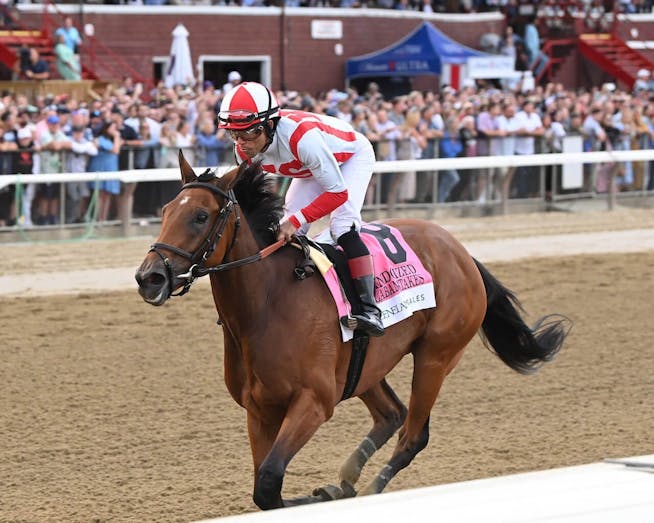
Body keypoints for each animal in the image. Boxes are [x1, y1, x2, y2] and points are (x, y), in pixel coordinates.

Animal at [135, 151, 571, 510]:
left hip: (436, 356)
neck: (267, 305)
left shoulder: (314, 402)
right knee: (392, 414)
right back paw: (344, 481)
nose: (148, 277)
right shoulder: (259, 409)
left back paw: (368, 488)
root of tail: (461, 252)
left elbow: (270, 483)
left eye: (200, 216)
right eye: (166, 209)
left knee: (413, 434)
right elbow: (263, 487)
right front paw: (325, 491)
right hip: (365, 365)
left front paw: (313, 497)